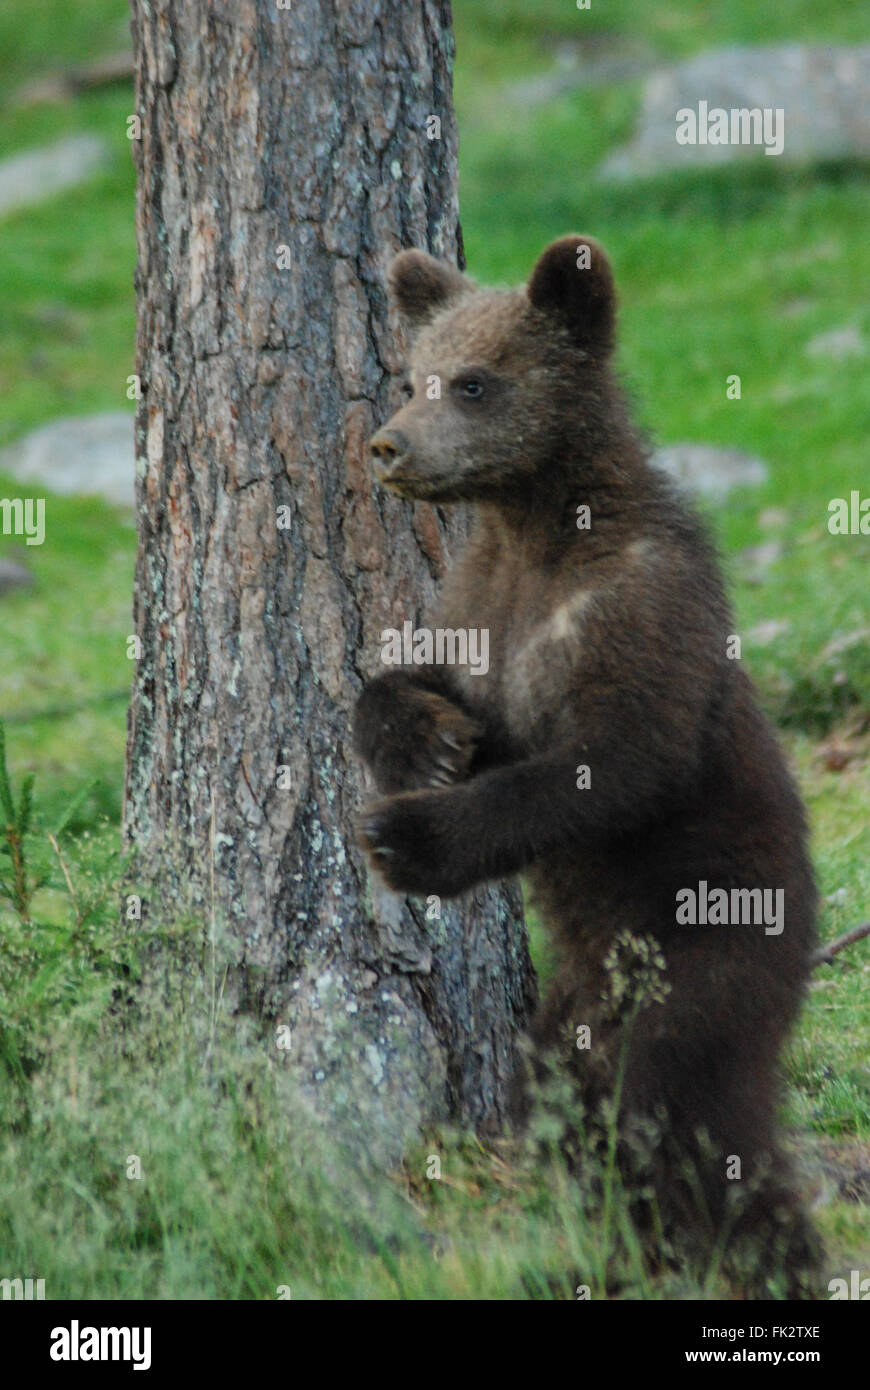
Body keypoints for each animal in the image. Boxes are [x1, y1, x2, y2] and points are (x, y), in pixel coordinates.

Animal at [353, 235, 819, 1294]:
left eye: (475, 382)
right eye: (414, 375)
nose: (389, 446)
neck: (536, 523)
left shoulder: (637, 608)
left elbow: (611, 765)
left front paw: (406, 836)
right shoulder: (480, 607)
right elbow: (406, 678)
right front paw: (425, 739)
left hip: (705, 951)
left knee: (687, 1118)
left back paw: (762, 1258)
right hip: (569, 1009)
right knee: (568, 1109)